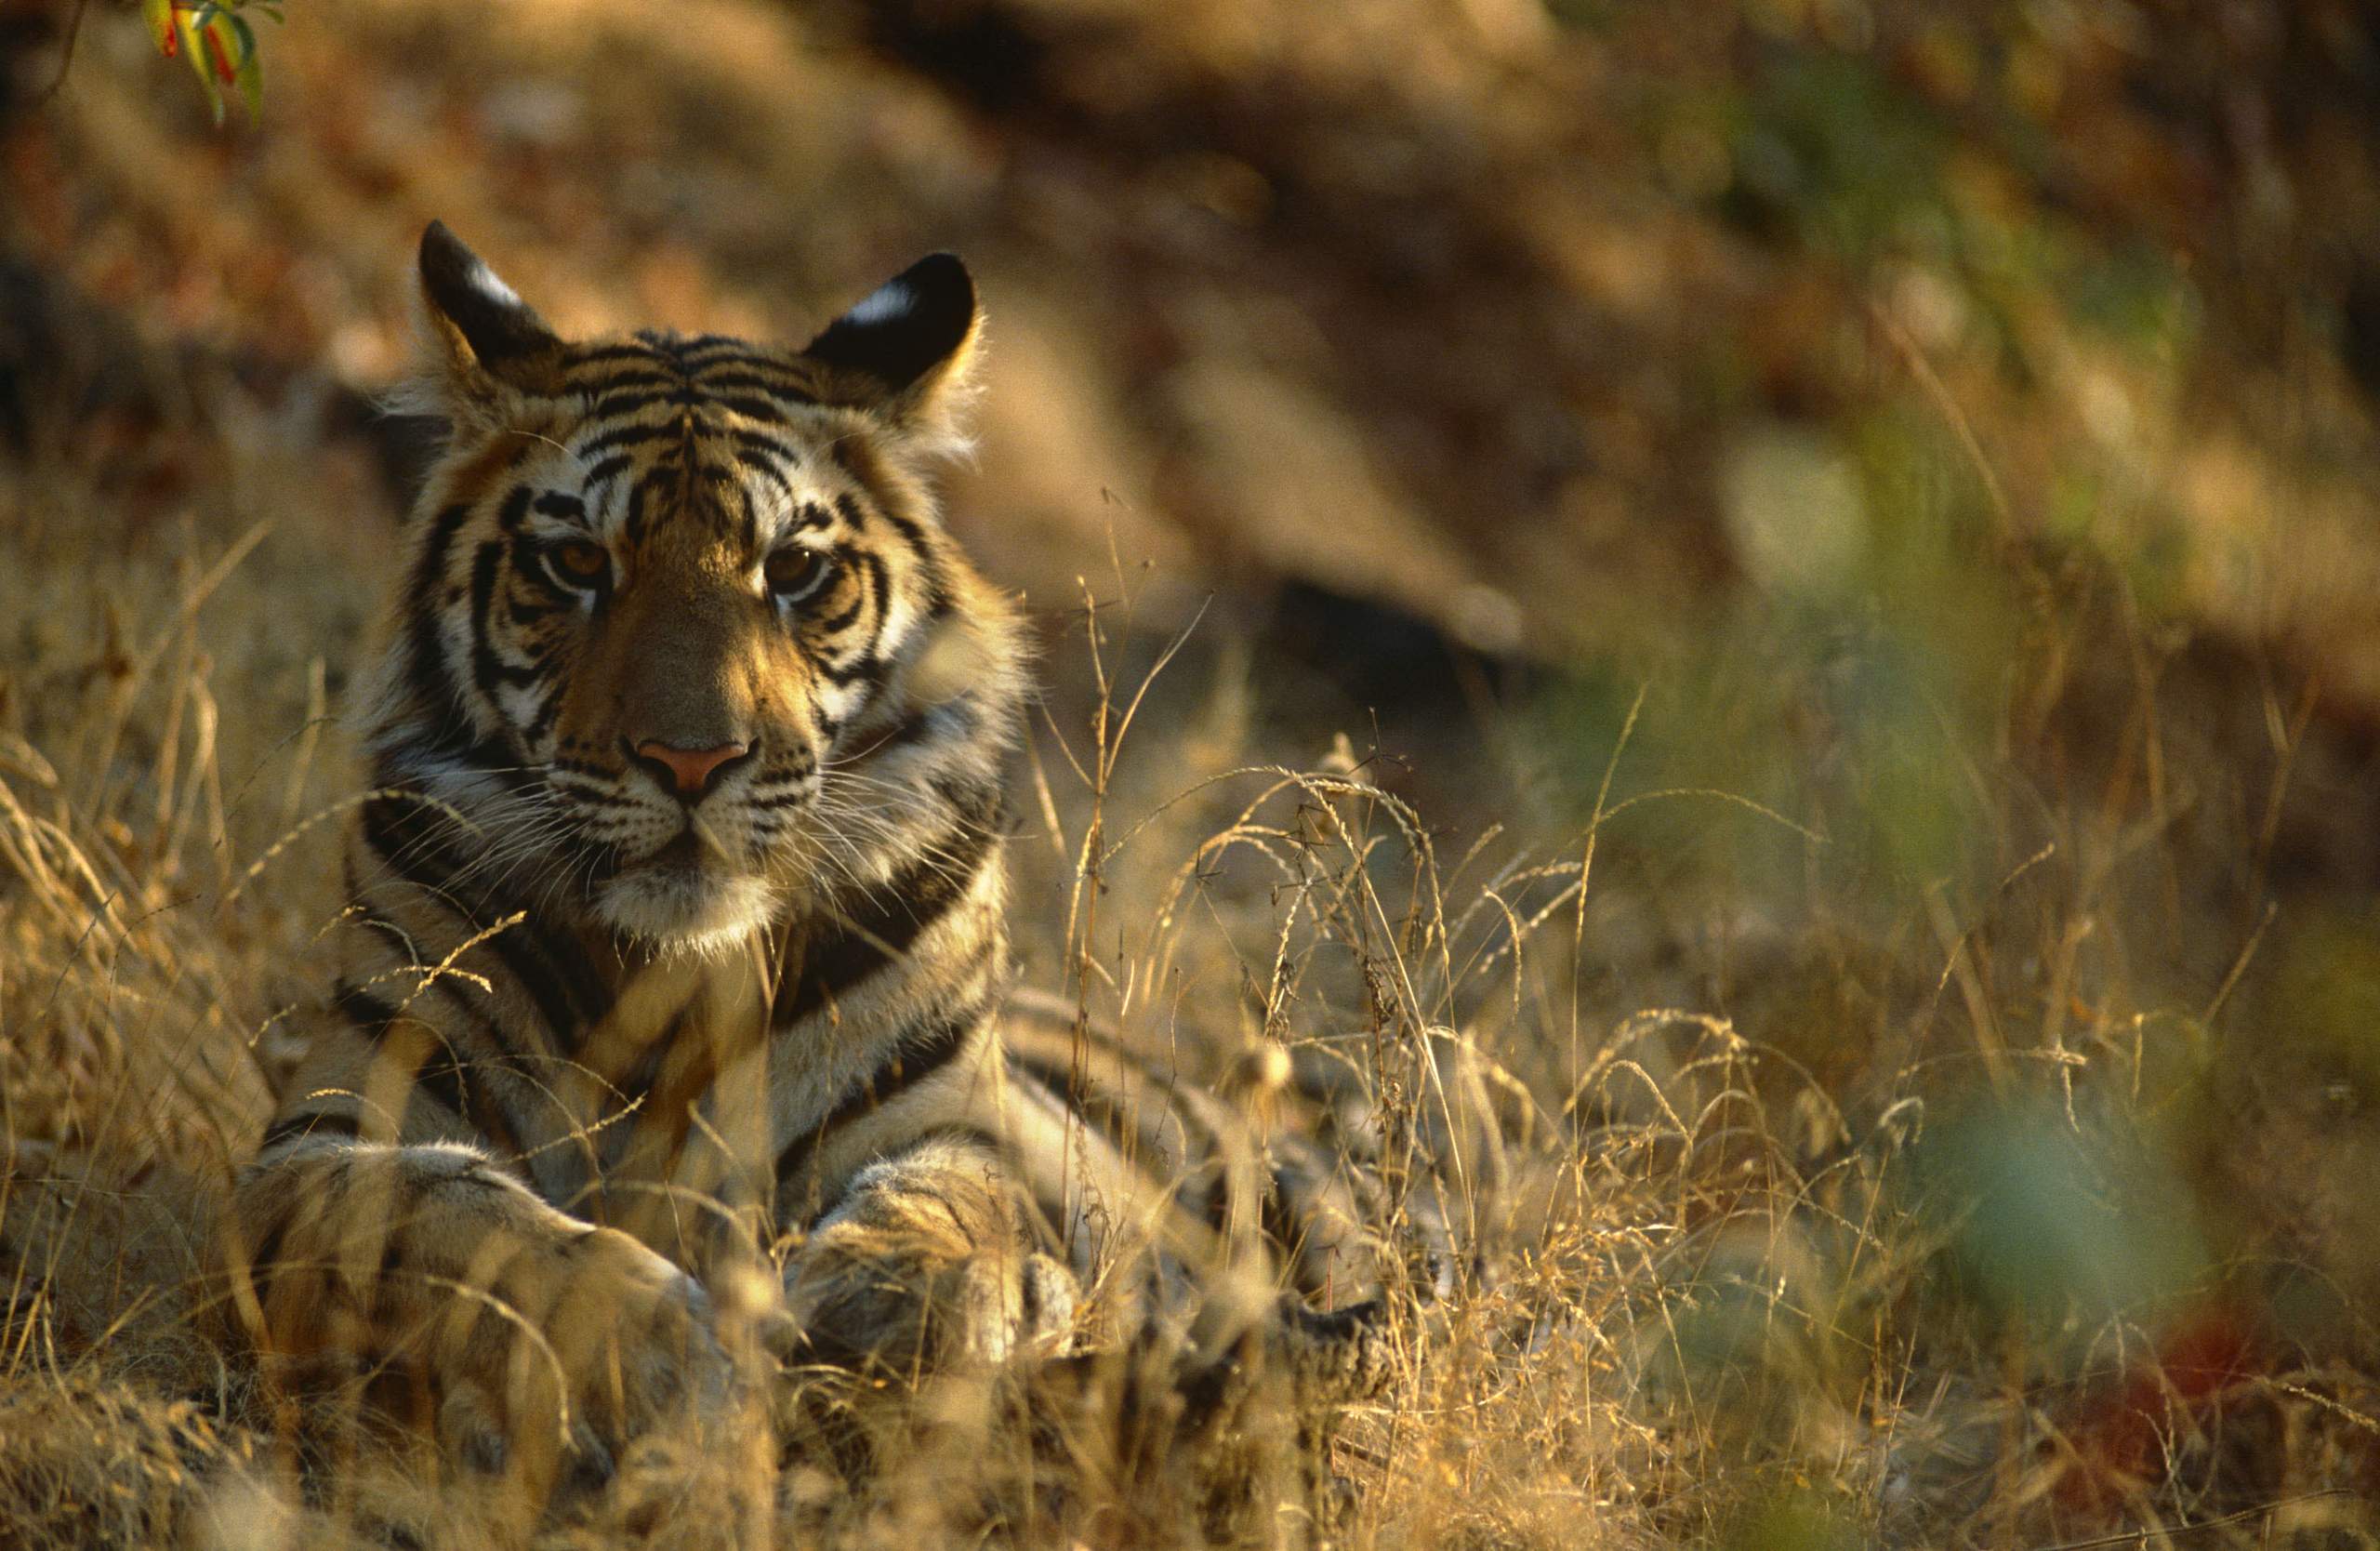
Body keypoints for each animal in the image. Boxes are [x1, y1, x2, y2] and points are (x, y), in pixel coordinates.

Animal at [228, 222, 1403, 1505]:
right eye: (577, 562)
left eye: (792, 569)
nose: (691, 760)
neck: (673, 976)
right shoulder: (329, 1133)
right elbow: (467, 1220)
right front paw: (655, 1359)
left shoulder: (946, 1121)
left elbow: (952, 1211)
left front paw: (894, 1318)